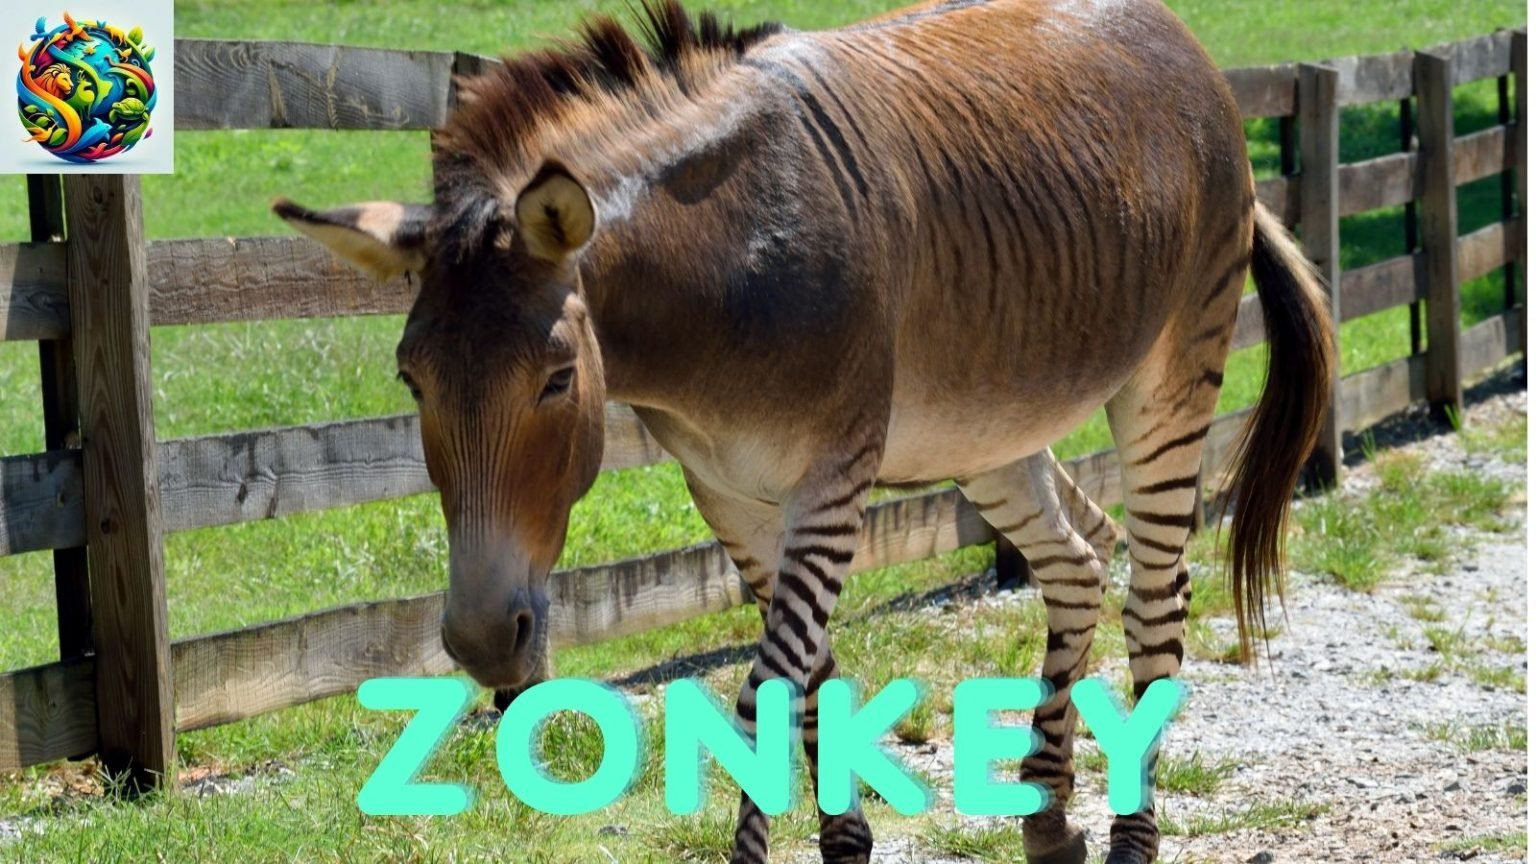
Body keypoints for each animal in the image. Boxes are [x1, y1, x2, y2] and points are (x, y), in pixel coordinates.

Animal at [274, 1, 1335, 861]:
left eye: (557, 380)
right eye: (410, 379)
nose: (485, 642)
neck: (725, 269)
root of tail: (1182, 39)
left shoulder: (832, 478)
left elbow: (764, 691)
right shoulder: (730, 495)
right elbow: (811, 676)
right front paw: (844, 841)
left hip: (1172, 377)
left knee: (1157, 596)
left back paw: (1130, 835)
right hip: (987, 428)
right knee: (1078, 558)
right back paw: (1046, 817)